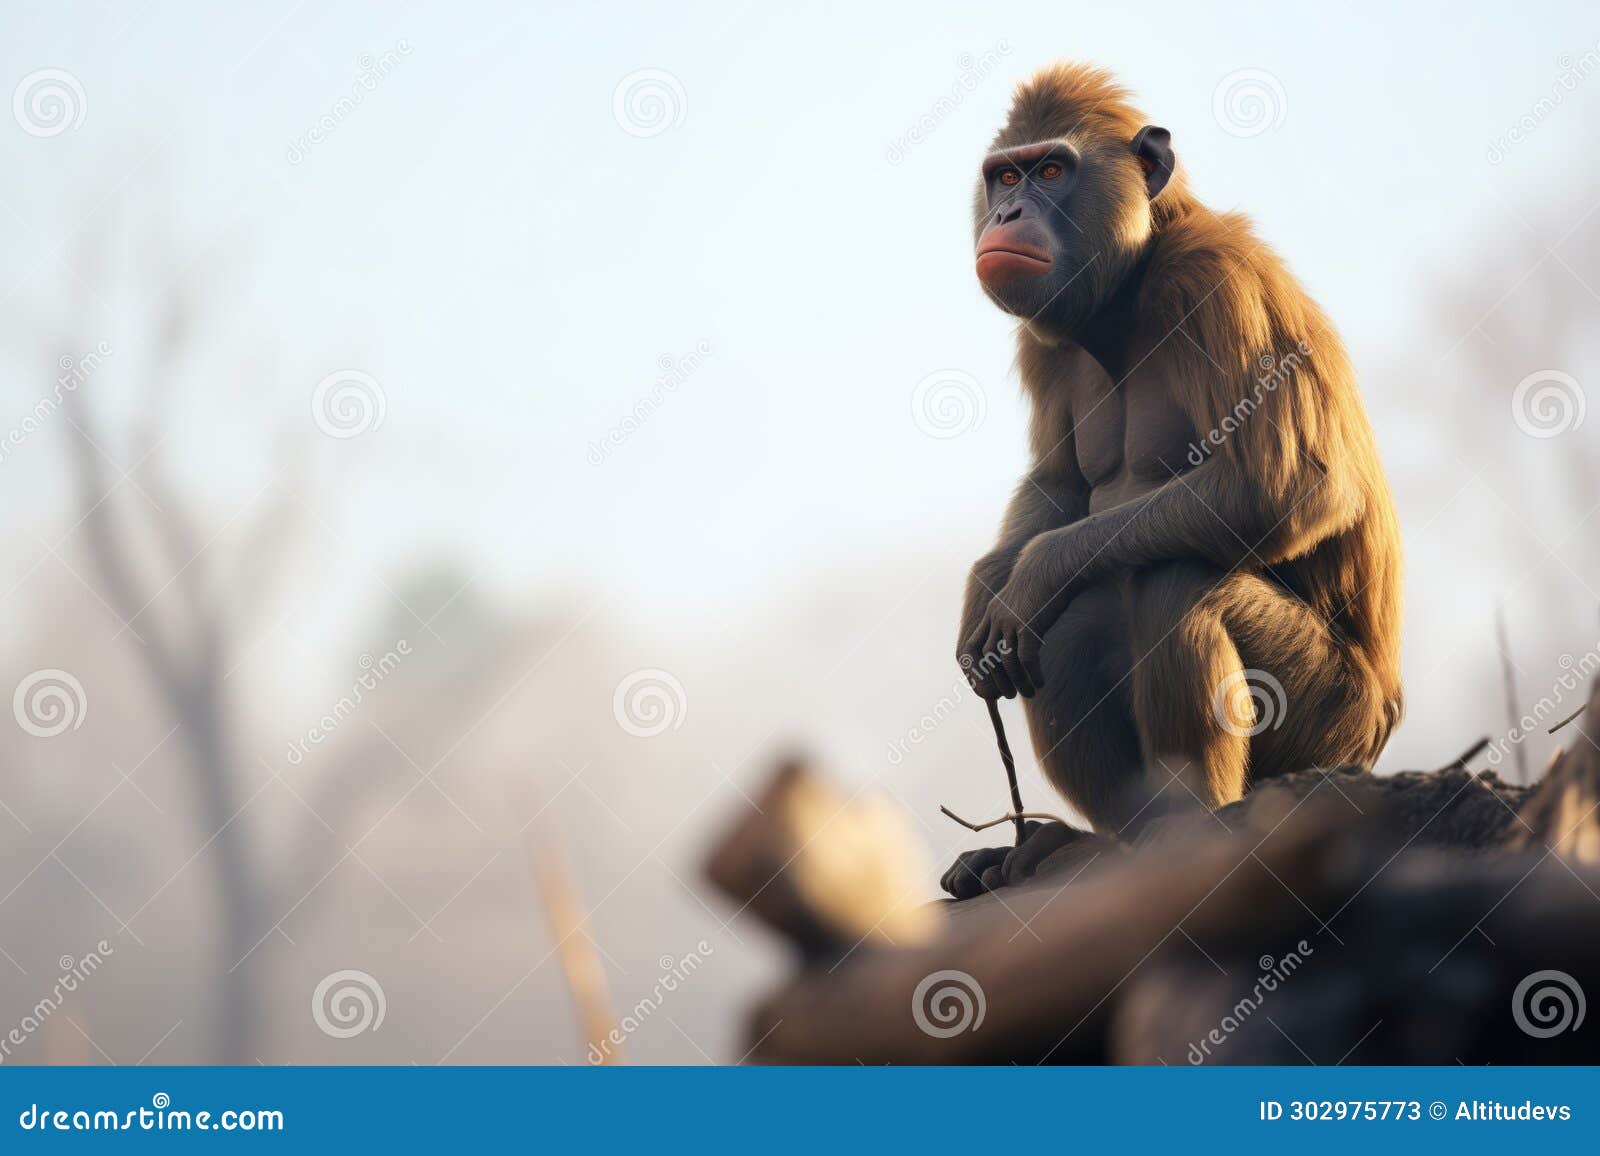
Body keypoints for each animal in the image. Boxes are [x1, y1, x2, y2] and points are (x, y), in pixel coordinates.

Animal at [941, 64, 1403, 899]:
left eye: (1051, 172)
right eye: (1006, 176)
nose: (1009, 212)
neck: (1130, 289)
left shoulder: (1216, 284)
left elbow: (1285, 491)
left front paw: (1032, 573)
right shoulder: (1045, 341)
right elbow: (1059, 486)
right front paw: (987, 581)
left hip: (1336, 732)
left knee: (1171, 577)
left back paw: (1187, 826)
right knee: (1081, 618)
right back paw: (1102, 843)